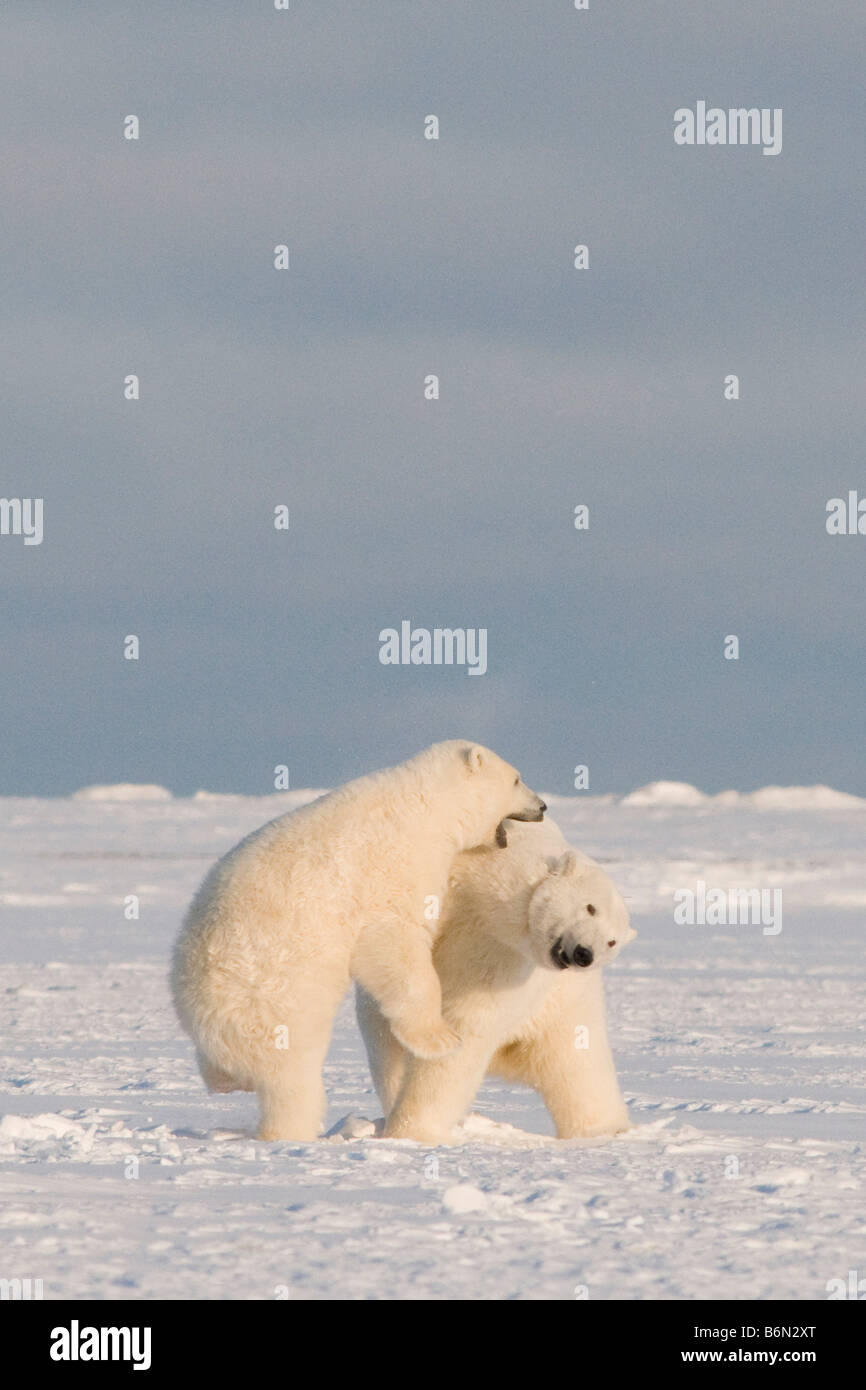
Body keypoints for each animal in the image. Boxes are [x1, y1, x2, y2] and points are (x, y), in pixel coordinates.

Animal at [171, 740, 546, 1141]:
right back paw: (287, 1129)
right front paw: (442, 1040)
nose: (542, 806)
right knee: (291, 1081)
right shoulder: (393, 870)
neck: (425, 807)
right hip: (275, 1004)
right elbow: (395, 946)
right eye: (516, 779)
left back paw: (225, 1082)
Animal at [356, 817, 635, 1144]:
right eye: (591, 907)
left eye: (612, 942)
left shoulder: (503, 961)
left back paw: (606, 1129)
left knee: (578, 1066)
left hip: (564, 1003)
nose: (584, 953)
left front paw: (413, 1129)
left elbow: (466, 1024)